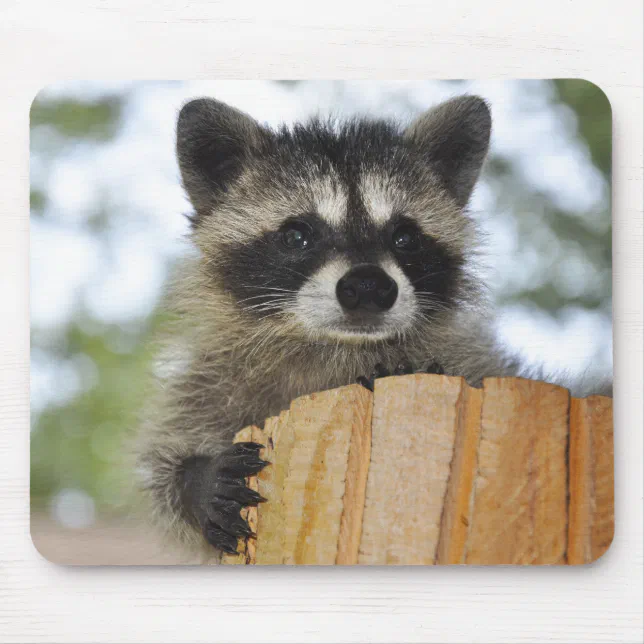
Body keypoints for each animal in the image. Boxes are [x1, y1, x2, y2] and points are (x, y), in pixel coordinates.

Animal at [133, 94, 610, 559]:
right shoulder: (213, 380)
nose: (368, 287)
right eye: (297, 235)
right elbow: (162, 464)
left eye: (405, 237)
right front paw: (194, 480)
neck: (337, 348)